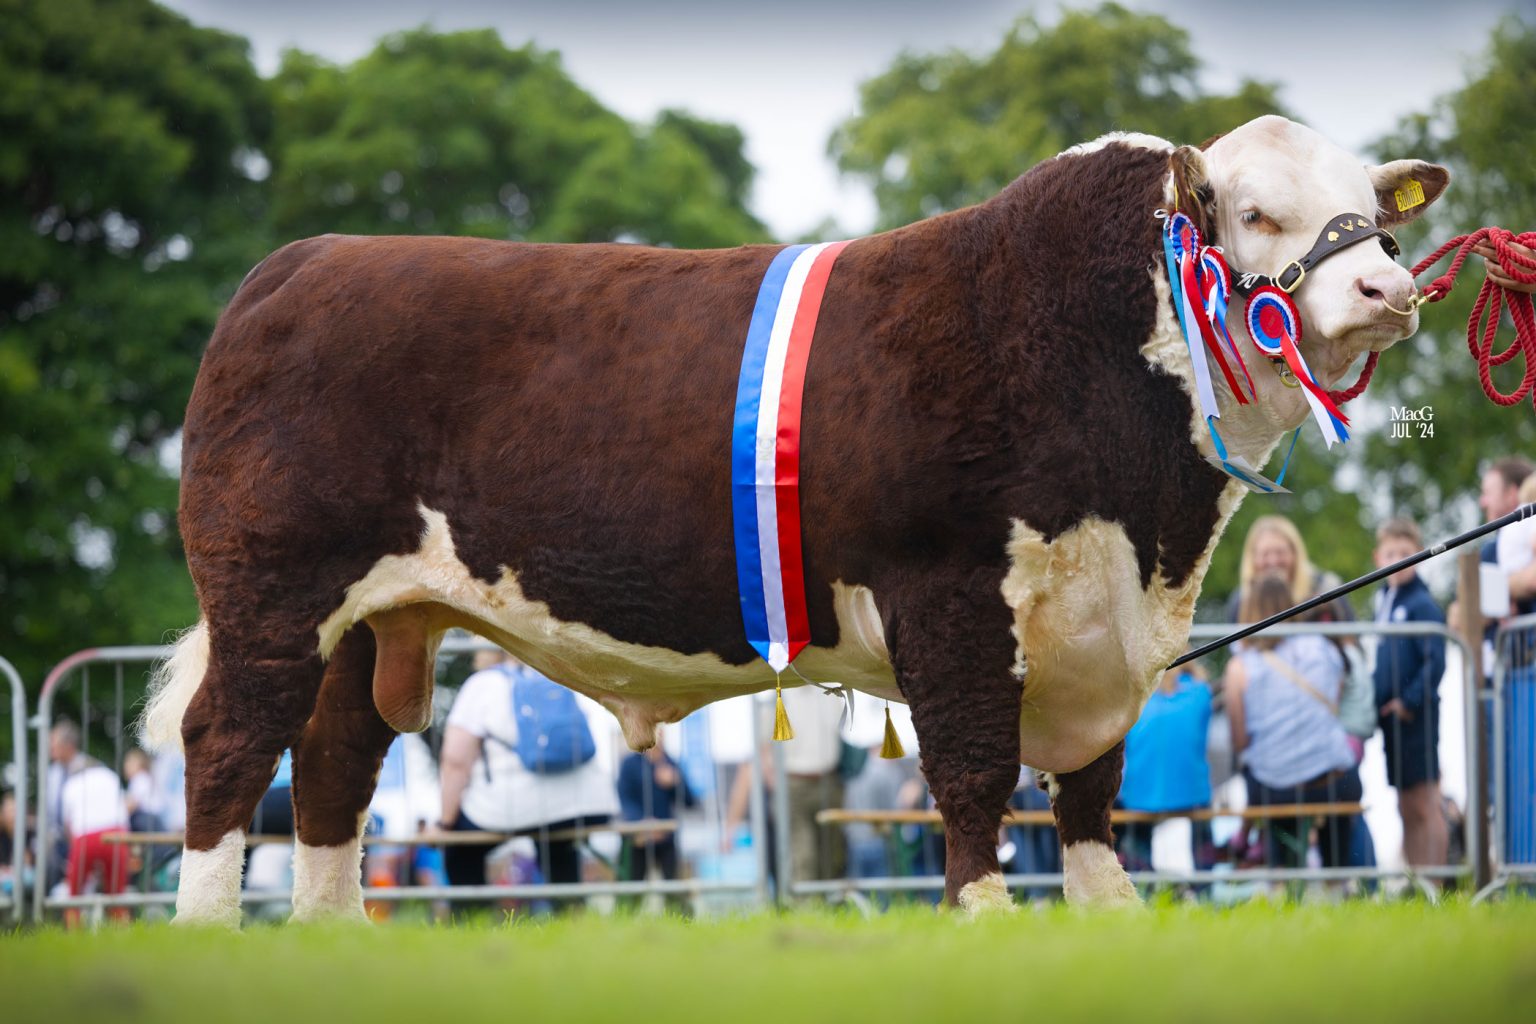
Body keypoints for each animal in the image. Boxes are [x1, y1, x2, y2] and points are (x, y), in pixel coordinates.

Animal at [141, 115, 1446, 926]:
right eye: (1259, 214)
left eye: (1371, 211)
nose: (1388, 285)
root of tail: (296, 264)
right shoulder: (950, 590)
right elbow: (975, 770)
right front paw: (983, 921)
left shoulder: (1104, 622)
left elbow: (1087, 792)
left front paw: (1108, 922)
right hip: (272, 592)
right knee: (229, 745)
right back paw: (209, 936)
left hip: (376, 618)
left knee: (331, 763)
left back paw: (333, 940)